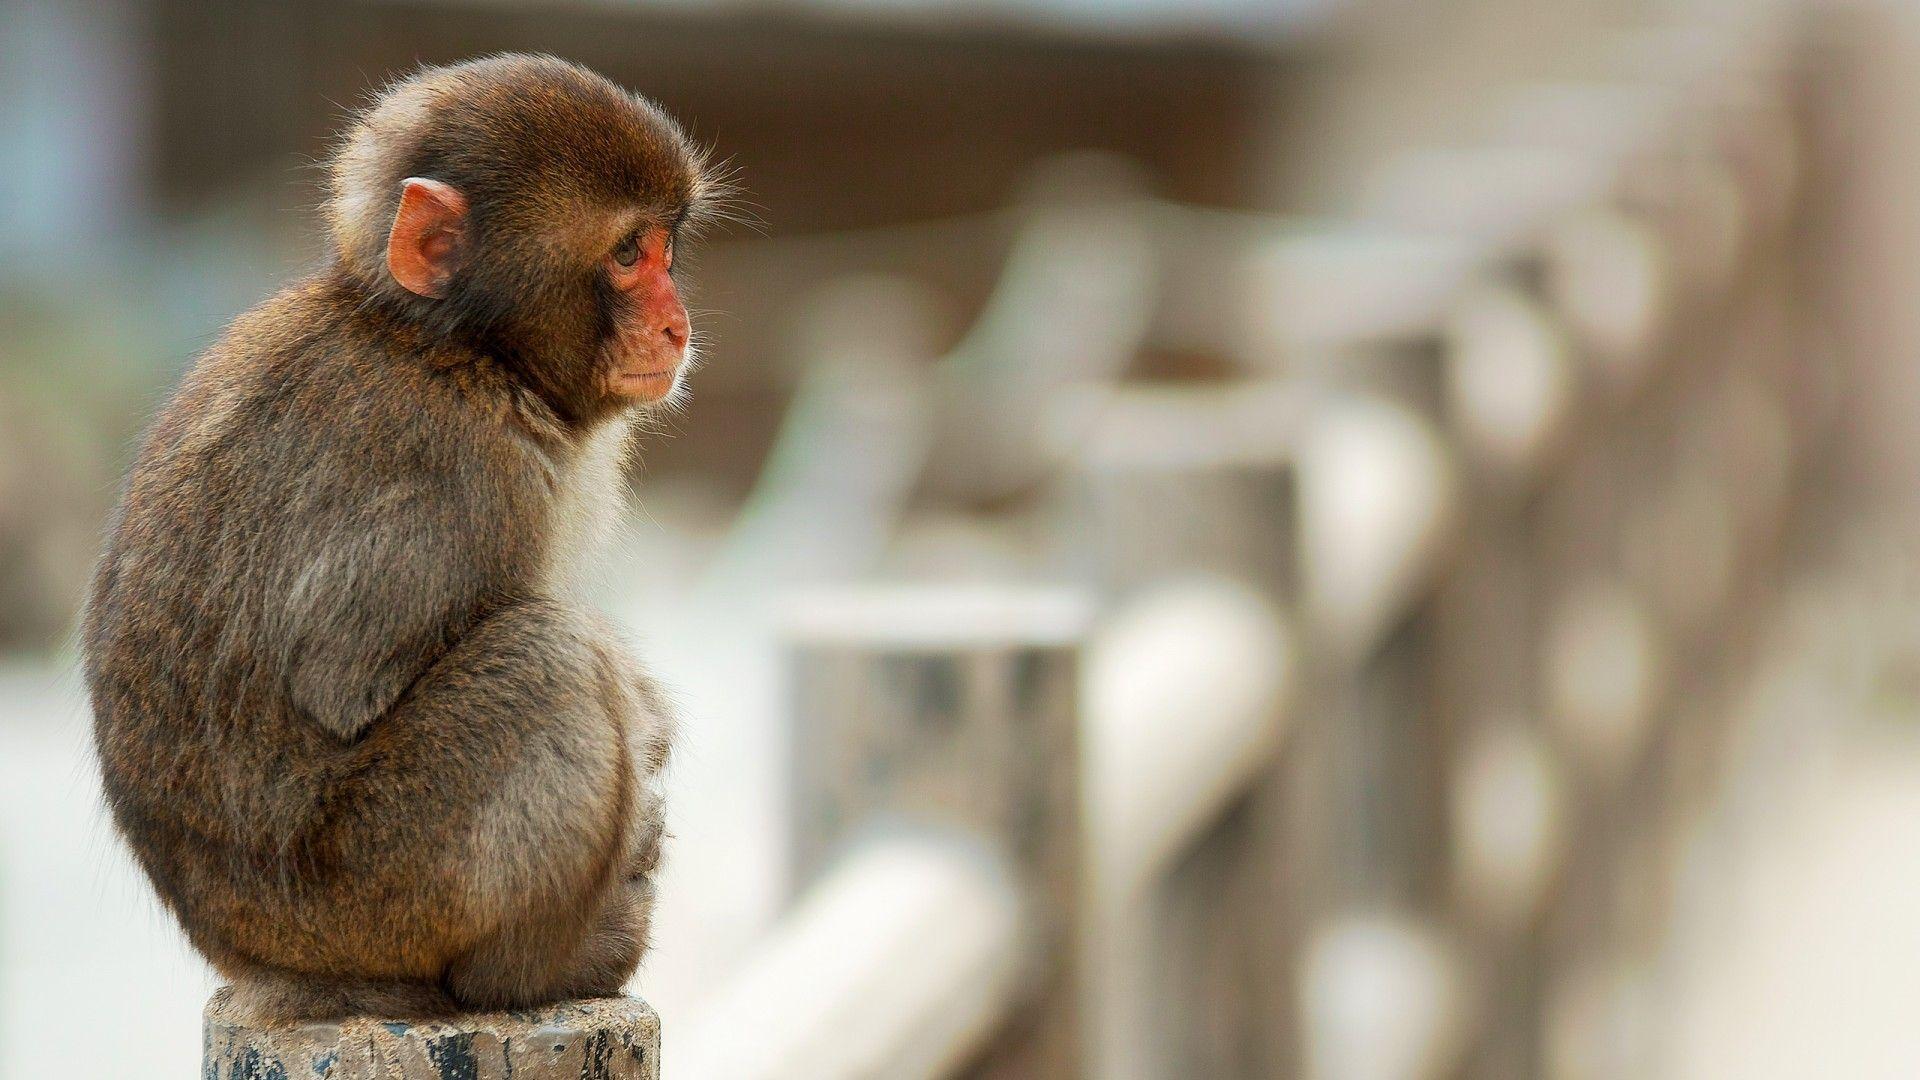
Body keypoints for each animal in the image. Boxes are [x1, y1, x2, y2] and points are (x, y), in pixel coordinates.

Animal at [81, 55, 727, 1022]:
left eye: (665, 249)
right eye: (625, 254)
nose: (676, 323)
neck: (459, 350)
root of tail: (252, 958)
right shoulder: (459, 471)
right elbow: (346, 682)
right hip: (374, 894)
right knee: (548, 658)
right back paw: (535, 971)